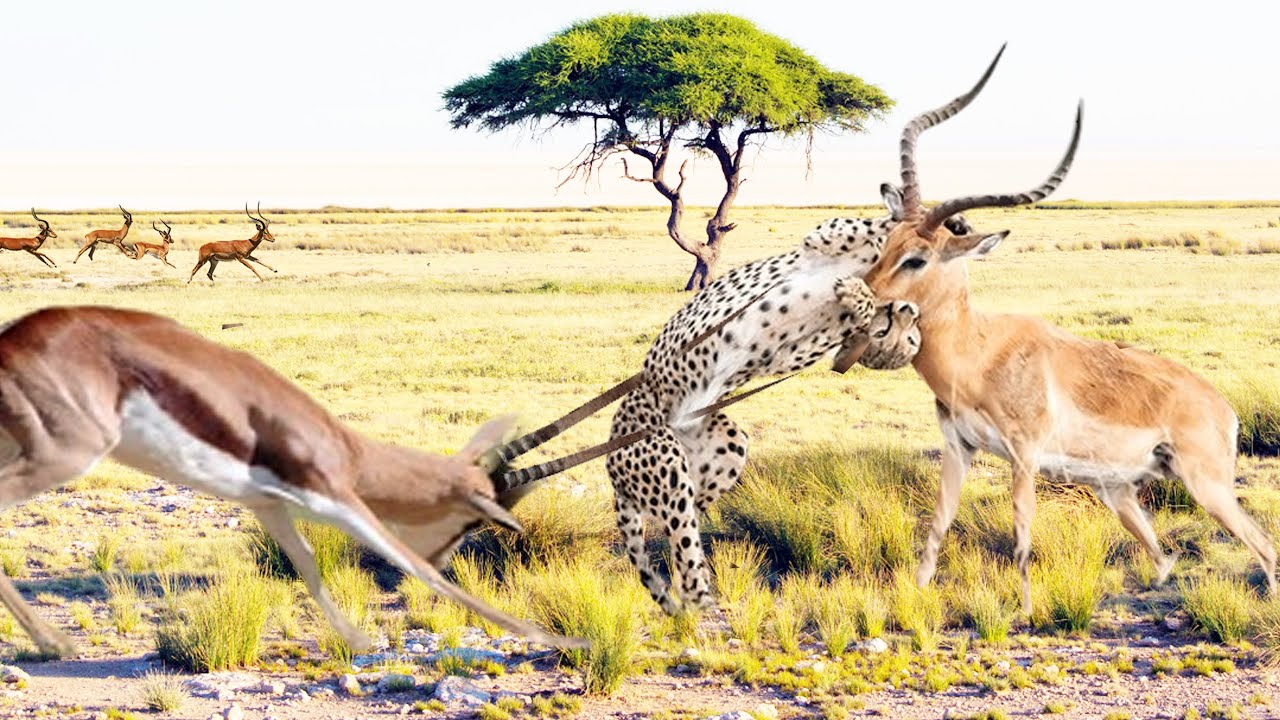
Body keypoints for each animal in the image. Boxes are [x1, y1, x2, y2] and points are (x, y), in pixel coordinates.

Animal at [0, 304, 686, 657]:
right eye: (472, 522)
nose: (453, 548)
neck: (349, 452)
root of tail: (12, 339)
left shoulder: (267, 504)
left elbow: (307, 565)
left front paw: (356, 640)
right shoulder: (337, 498)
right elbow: (421, 571)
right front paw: (565, 639)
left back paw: (50, 643)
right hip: (68, 453)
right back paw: (56, 646)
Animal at [861, 46, 1276, 615]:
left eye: (918, 258)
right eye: (886, 242)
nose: (862, 292)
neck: (977, 354)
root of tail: (1224, 409)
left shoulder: (1024, 456)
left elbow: (1021, 538)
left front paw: (1026, 611)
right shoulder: (958, 448)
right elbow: (937, 529)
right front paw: (918, 597)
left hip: (1206, 487)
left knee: (1265, 546)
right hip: (1121, 492)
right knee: (1166, 559)